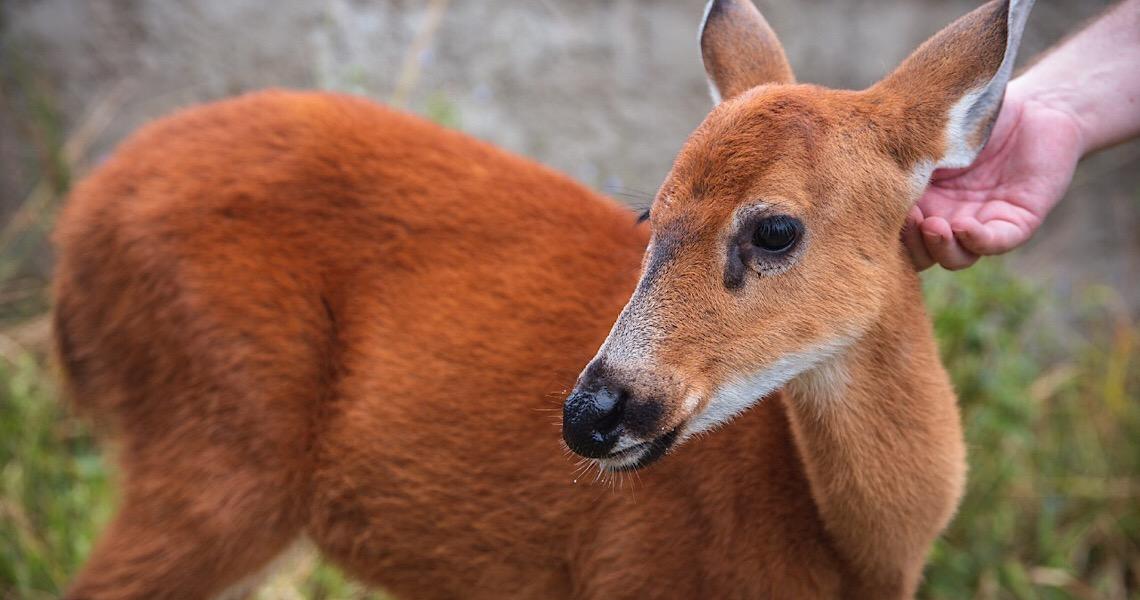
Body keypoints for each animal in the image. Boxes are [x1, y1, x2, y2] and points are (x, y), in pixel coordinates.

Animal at [53, 0, 1032, 598]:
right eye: (651, 213)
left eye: (776, 229)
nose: (592, 413)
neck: (847, 553)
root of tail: (82, 219)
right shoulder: (631, 575)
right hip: (215, 448)